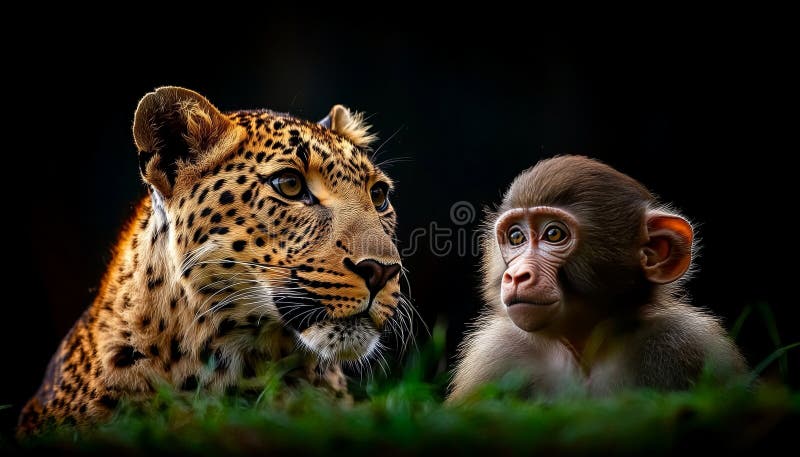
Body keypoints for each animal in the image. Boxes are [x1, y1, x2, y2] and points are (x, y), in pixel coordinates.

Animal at [449, 155, 746, 401]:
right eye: (516, 237)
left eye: (554, 234)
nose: (516, 275)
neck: (585, 350)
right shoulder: (494, 354)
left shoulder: (690, 341)